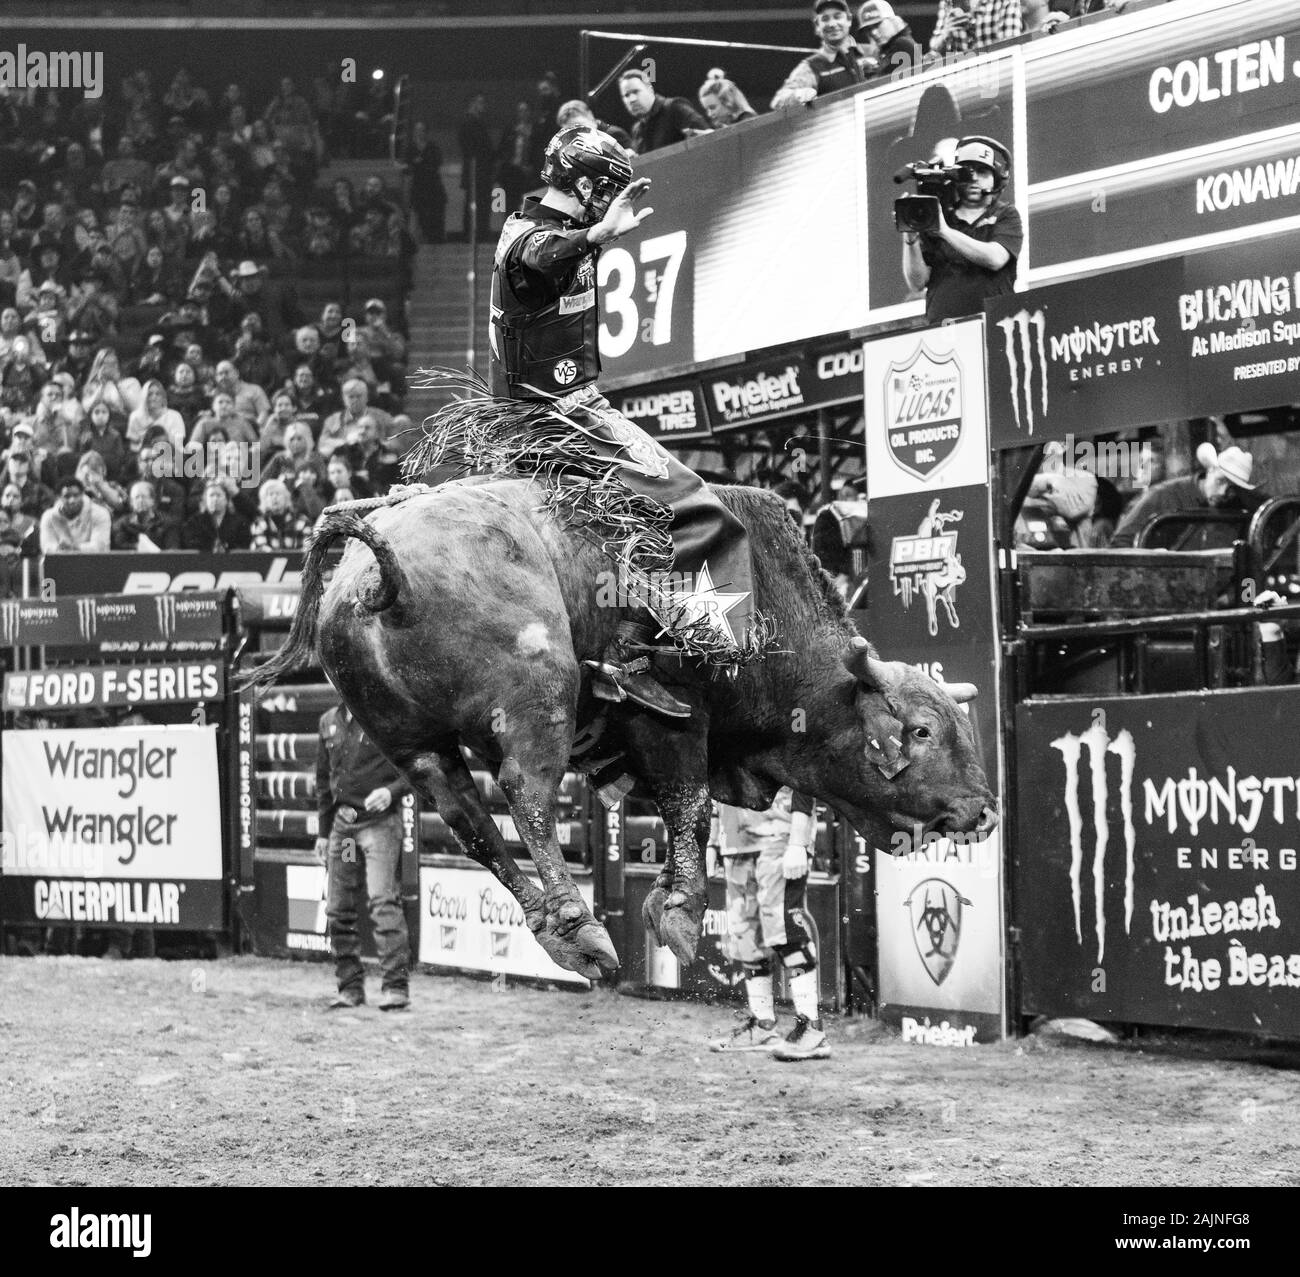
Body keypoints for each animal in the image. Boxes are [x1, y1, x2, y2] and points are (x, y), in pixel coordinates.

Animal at [245, 479, 997, 981]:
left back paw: (557, 929)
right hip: (538, 689)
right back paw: (578, 922)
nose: (982, 811)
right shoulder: (674, 715)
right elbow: (690, 806)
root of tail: (377, 569)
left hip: (412, 741)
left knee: (467, 817)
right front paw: (682, 912)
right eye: (922, 730)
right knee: (528, 793)